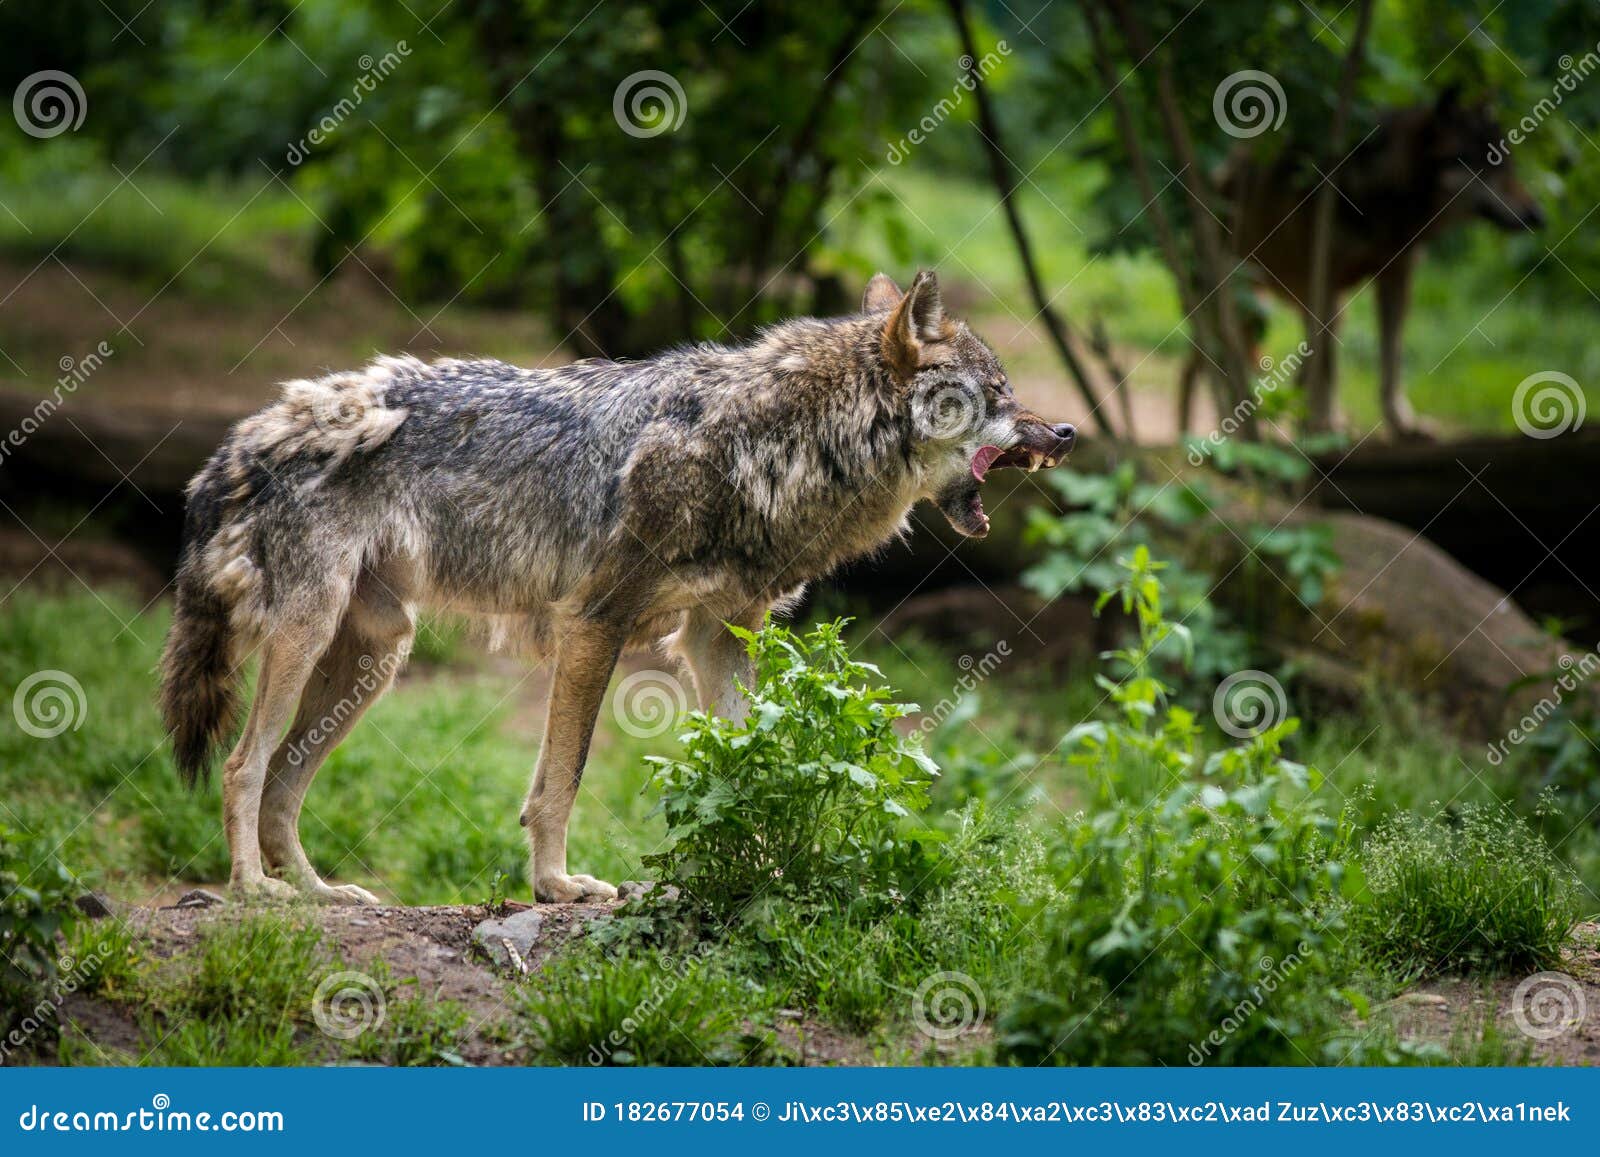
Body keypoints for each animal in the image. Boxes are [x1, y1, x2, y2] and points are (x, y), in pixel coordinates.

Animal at [158, 271, 1074, 904]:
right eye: (999, 394)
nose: (1065, 430)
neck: (784, 441)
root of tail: (242, 437)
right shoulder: (594, 623)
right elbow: (562, 779)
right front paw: (558, 886)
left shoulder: (716, 635)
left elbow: (751, 761)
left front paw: (770, 870)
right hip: (309, 639)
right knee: (243, 766)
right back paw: (255, 891)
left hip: (374, 658)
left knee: (283, 785)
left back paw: (319, 895)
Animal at [1179, 90, 1543, 438]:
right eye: (1488, 161)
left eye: (1510, 165)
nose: (1537, 215)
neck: (1381, 197)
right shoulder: (1325, 279)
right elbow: (1327, 363)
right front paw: (1325, 425)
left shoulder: (1397, 279)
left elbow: (1390, 357)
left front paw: (1402, 424)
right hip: (1239, 307)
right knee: (1208, 368)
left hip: (1309, 307)